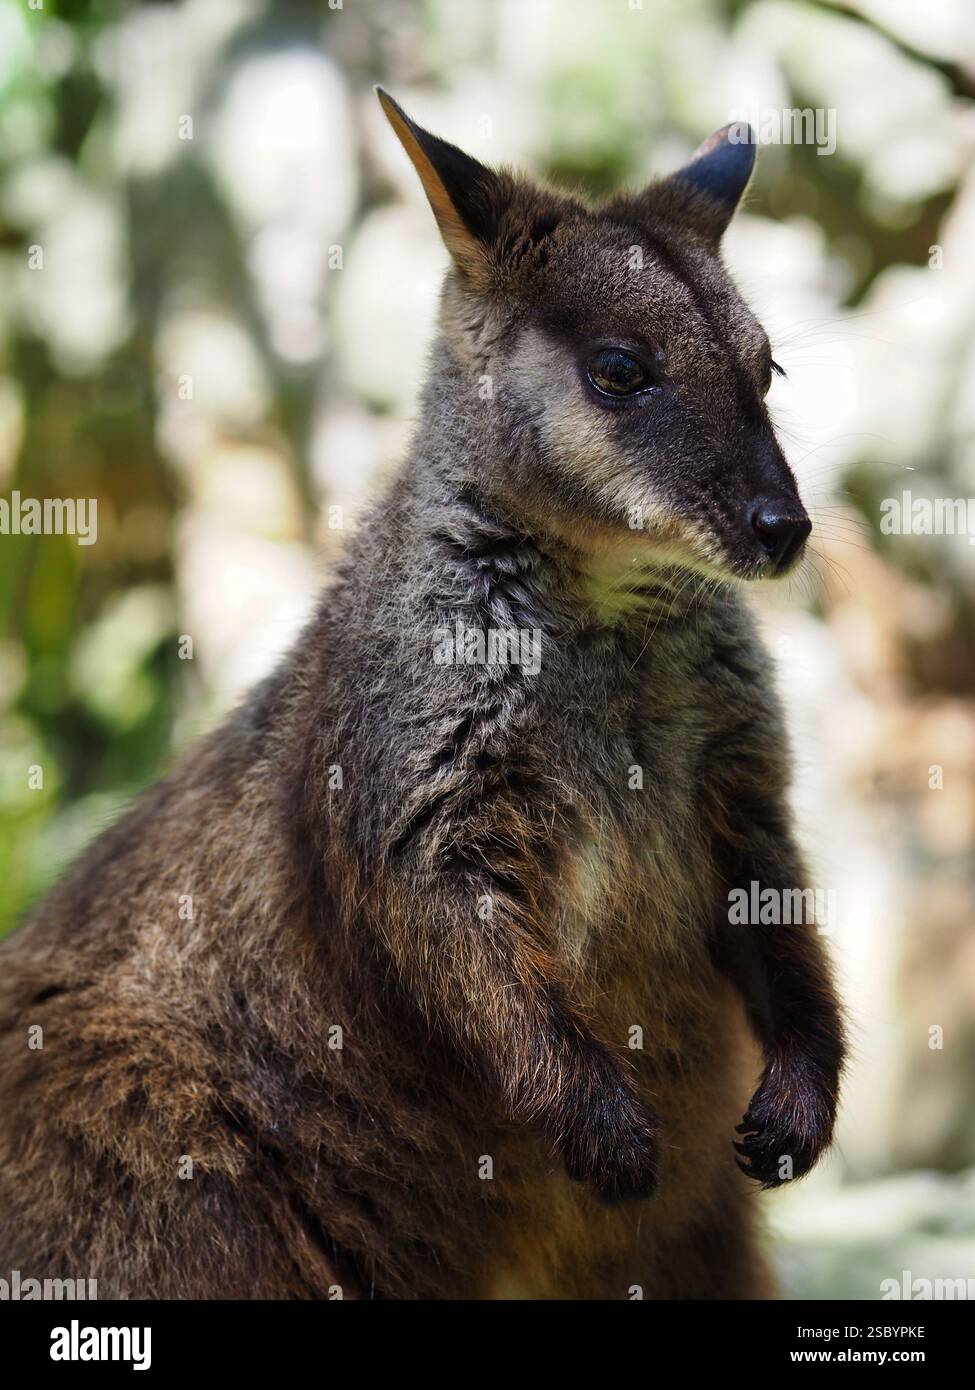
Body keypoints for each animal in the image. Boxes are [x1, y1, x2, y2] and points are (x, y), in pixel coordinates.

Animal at [0, 91, 845, 1300]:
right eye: (619, 371)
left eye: (767, 371)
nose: (785, 531)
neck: (608, 606)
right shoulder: (407, 777)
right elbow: (444, 930)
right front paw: (608, 1138)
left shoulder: (738, 778)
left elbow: (778, 901)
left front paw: (794, 1115)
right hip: (161, 1153)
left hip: (699, 1242)